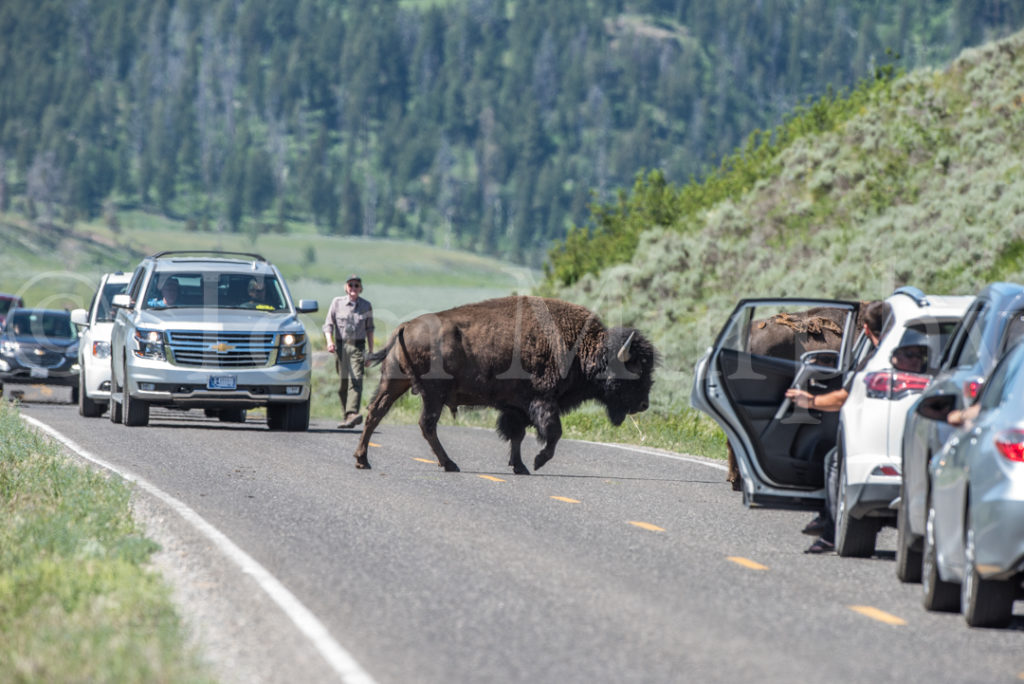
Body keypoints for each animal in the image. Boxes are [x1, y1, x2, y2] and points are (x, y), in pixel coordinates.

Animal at [351, 296, 657, 473]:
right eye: (635, 369)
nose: (644, 404)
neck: (581, 347)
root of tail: (405, 326)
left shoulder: (516, 407)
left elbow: (516, 435)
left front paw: (519, 466)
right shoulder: (541, 400)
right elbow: (553, 432)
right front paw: (537, 462)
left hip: (394, 382)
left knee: (375, 413)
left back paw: (362, 460)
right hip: (432, 394)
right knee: (426, 424)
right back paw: (449, 464)